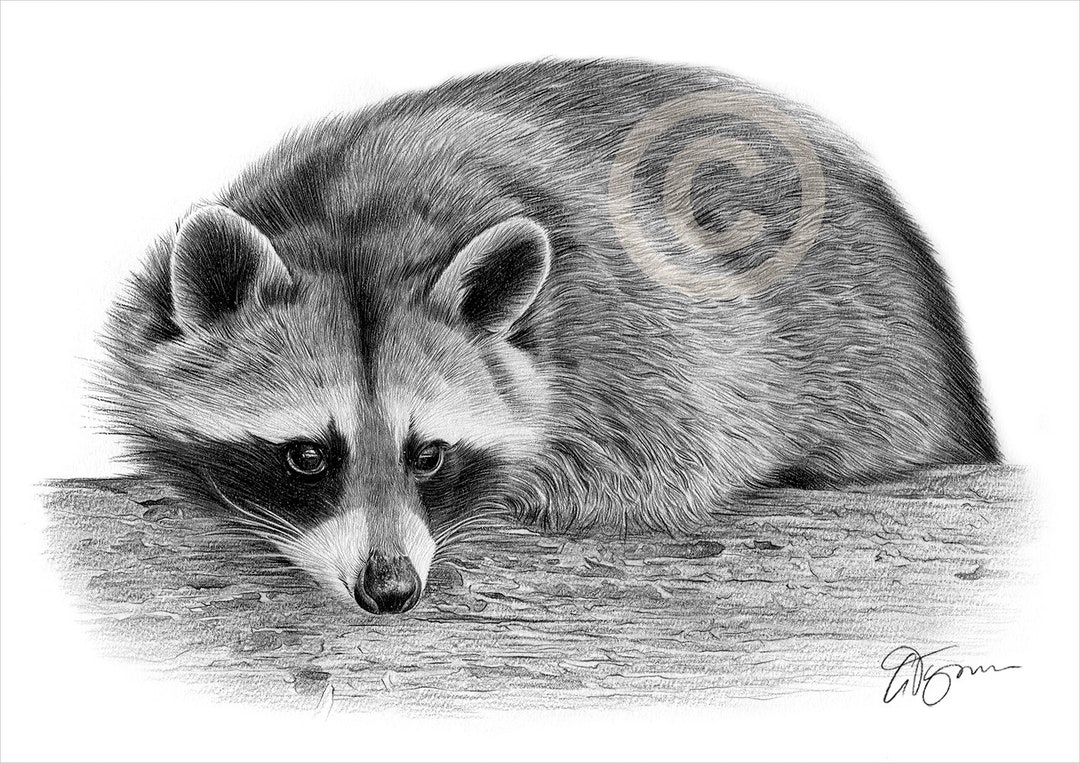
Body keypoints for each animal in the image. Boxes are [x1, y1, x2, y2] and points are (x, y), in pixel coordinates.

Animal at [98, 59, 998, 615]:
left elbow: (673, 459)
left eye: (429, 454)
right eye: (308, 455)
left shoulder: (655, 334)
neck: (358, 220)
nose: (391, 591)